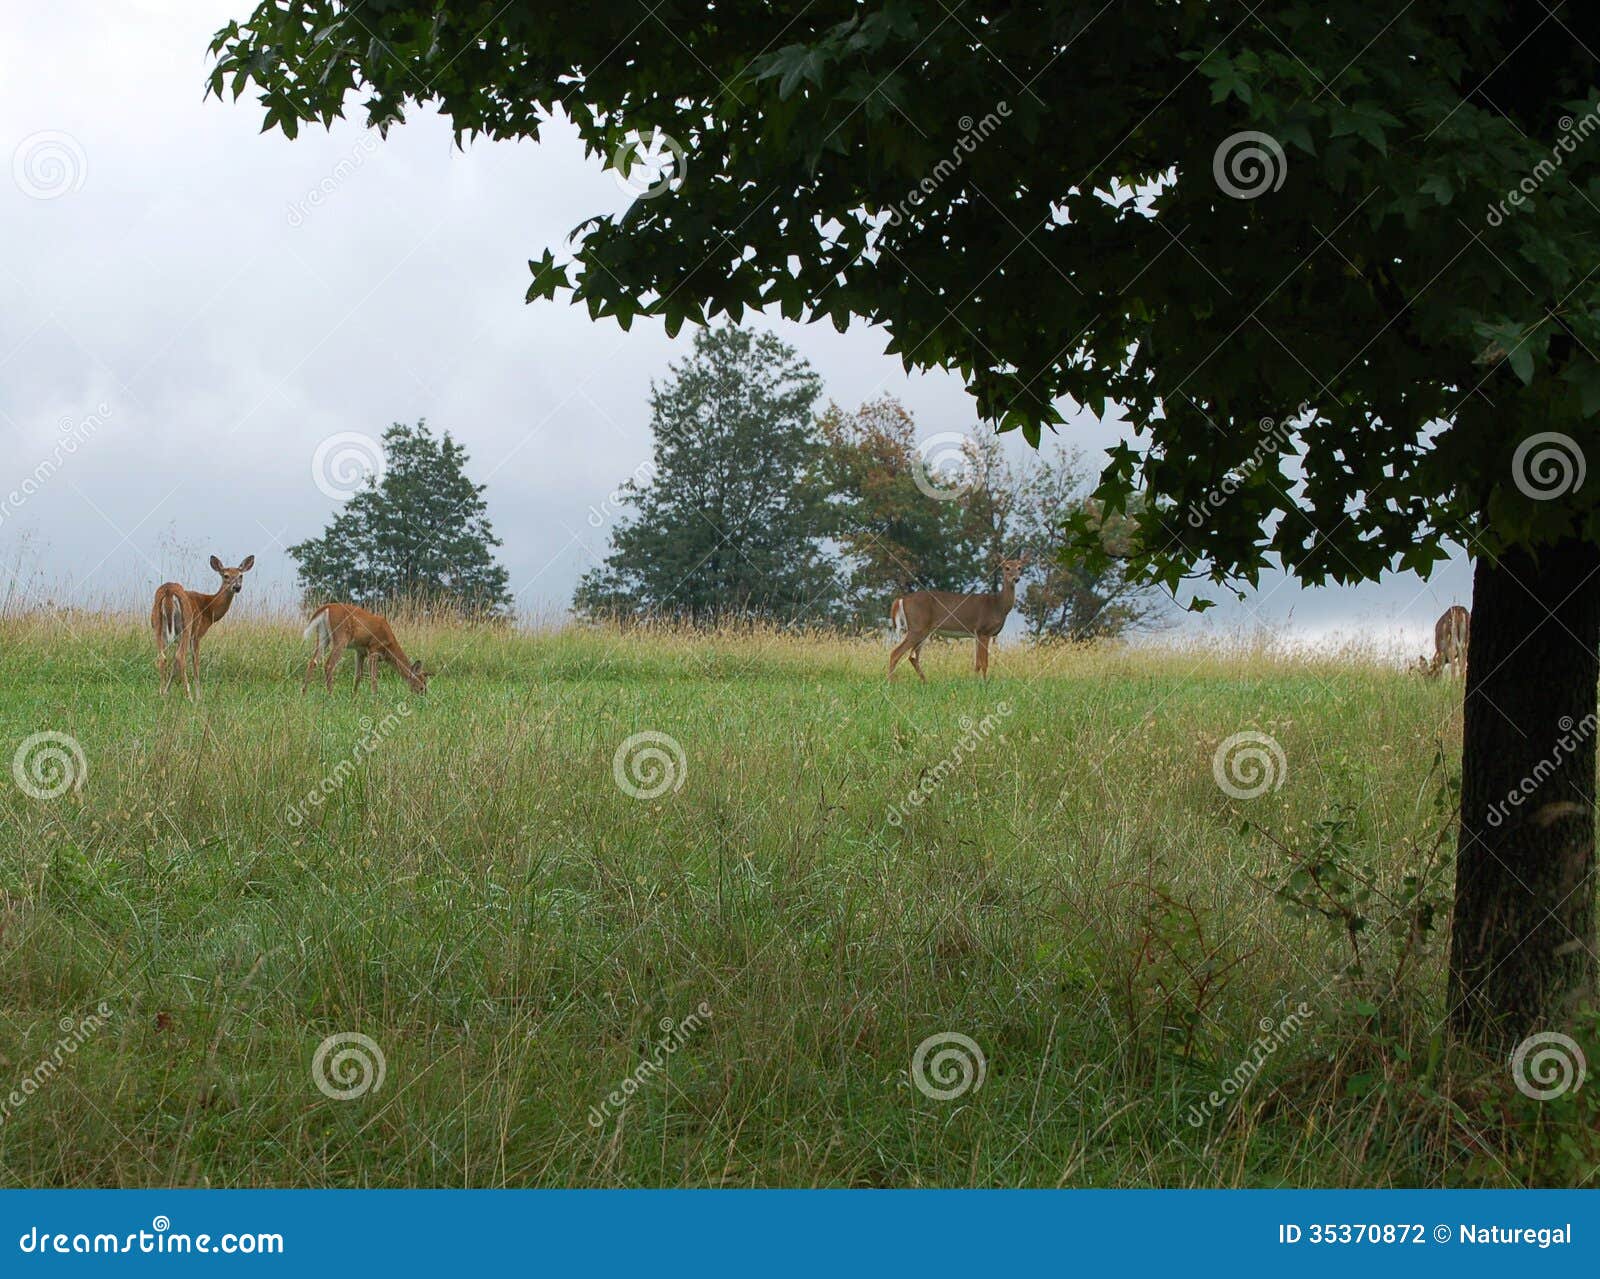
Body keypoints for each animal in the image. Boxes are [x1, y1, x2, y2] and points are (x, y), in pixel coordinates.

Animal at [150, 554, 255, 699]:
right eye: (226, 575)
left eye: (241, 575)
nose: (237, 587)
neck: (209, 609)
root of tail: (169, 591)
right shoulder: (197, 634)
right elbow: (196, 663)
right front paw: (199, 696)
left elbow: (174, 666)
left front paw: (166, 691)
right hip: (187, 626)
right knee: (181, 657)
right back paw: (189, 697)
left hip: (158, 626)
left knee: (163, 657)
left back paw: (161, 693)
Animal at [302, 603, 430, 695]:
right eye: (422, 685)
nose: (423, 695)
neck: (389, 646)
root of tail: (327, 607)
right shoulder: (373, 649)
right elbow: (374, 677)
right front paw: (375, 698)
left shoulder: (360, 651)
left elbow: (358, 675)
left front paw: (354, 697)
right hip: (341, 637)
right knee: (329, 664)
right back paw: (330, 695)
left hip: (323, 635)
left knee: (312, 661)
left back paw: (303, 693)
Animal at [888, 556, 1029, 682]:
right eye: (1007, 567)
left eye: (1020, 567)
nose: (1016, 578)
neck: (998, 605)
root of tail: (902, 599)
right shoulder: (984, 630)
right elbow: (984, 662)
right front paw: (984, 684)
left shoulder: (977, 633)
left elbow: (977, 663)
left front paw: (974, 682)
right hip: (917, 627)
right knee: (895, 653)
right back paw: (891, 682)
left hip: (923, 630)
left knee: (912, 656)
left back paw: (925, 681)